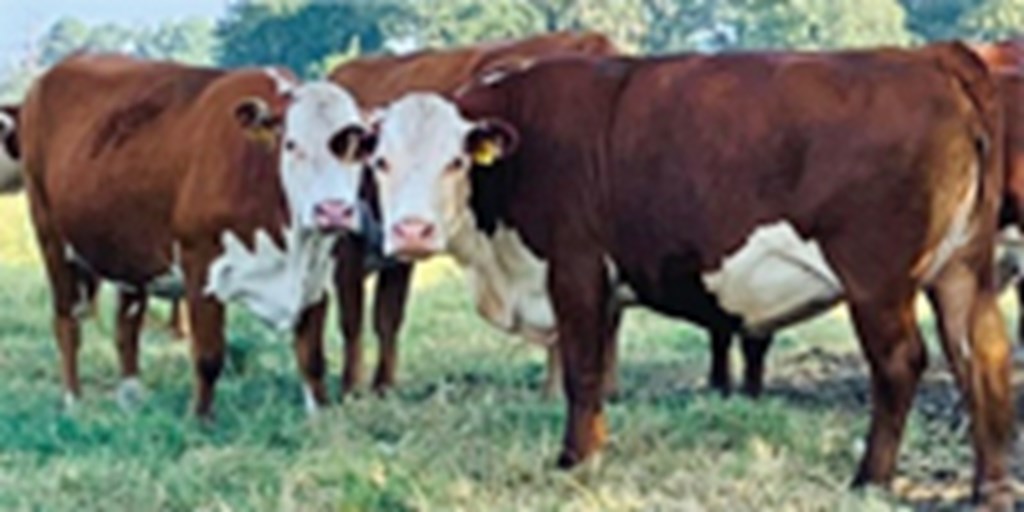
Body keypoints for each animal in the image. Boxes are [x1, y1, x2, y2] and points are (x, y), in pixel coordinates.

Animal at [20, 53, 372, 416]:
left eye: (359, 150)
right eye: (291, 145)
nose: (333, 211)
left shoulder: (316, 279)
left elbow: (312, 359)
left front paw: (320, 416)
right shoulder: (200, 267)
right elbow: (209, 356)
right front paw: (200, 419)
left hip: (127, 253)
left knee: (126, 325)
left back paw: (131, 397)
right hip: (51, 240)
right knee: (67, 323)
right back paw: (73, 400)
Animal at [361, 43, 1015, 508]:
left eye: (456, 161)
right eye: (380, 161)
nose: (412, 231)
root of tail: (933, 59)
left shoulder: (575, 268)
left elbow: (581, 371)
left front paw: (574, 462)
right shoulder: (602, 288)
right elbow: (598, 373)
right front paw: (595, 452)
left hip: (877, 280)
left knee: (901, 363)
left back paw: (870, 480)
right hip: (962, 269)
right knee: (981, 354)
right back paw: (989, 488)